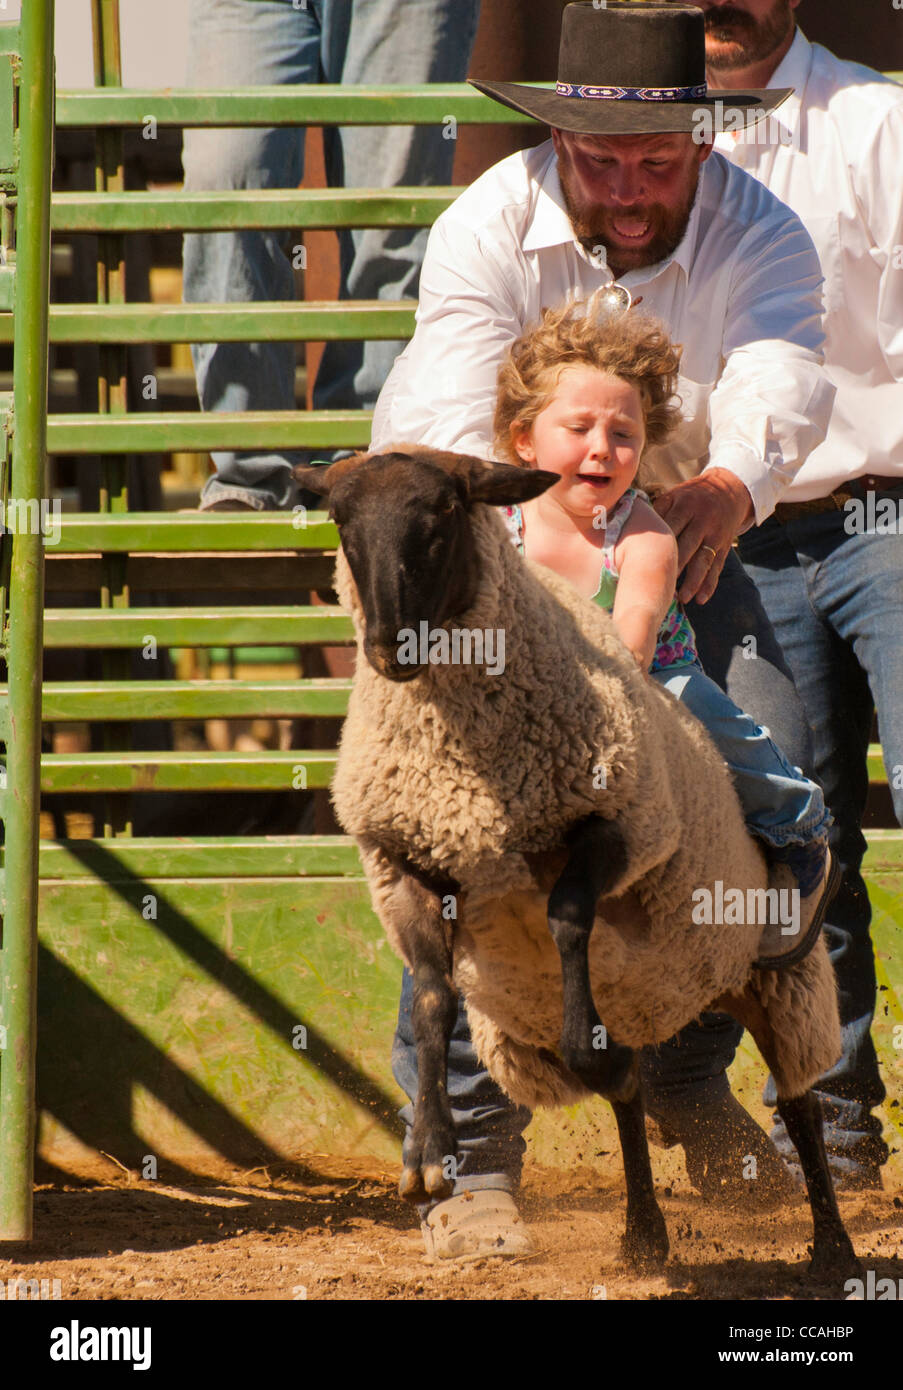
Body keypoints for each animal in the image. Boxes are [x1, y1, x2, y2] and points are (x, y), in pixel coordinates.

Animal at [297, 444, 860, 1284]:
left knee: (798, 1103)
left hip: (778, 982)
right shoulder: (406, 863)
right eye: (340, 519)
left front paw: (575, 1056)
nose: (386, 648)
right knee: (629, 1094)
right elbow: (429, 996)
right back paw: (643, 1234)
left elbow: (566, 917)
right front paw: (428, 1152)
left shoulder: (622, 828)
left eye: (444, 512)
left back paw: (831, 1250)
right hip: (620, 1000)